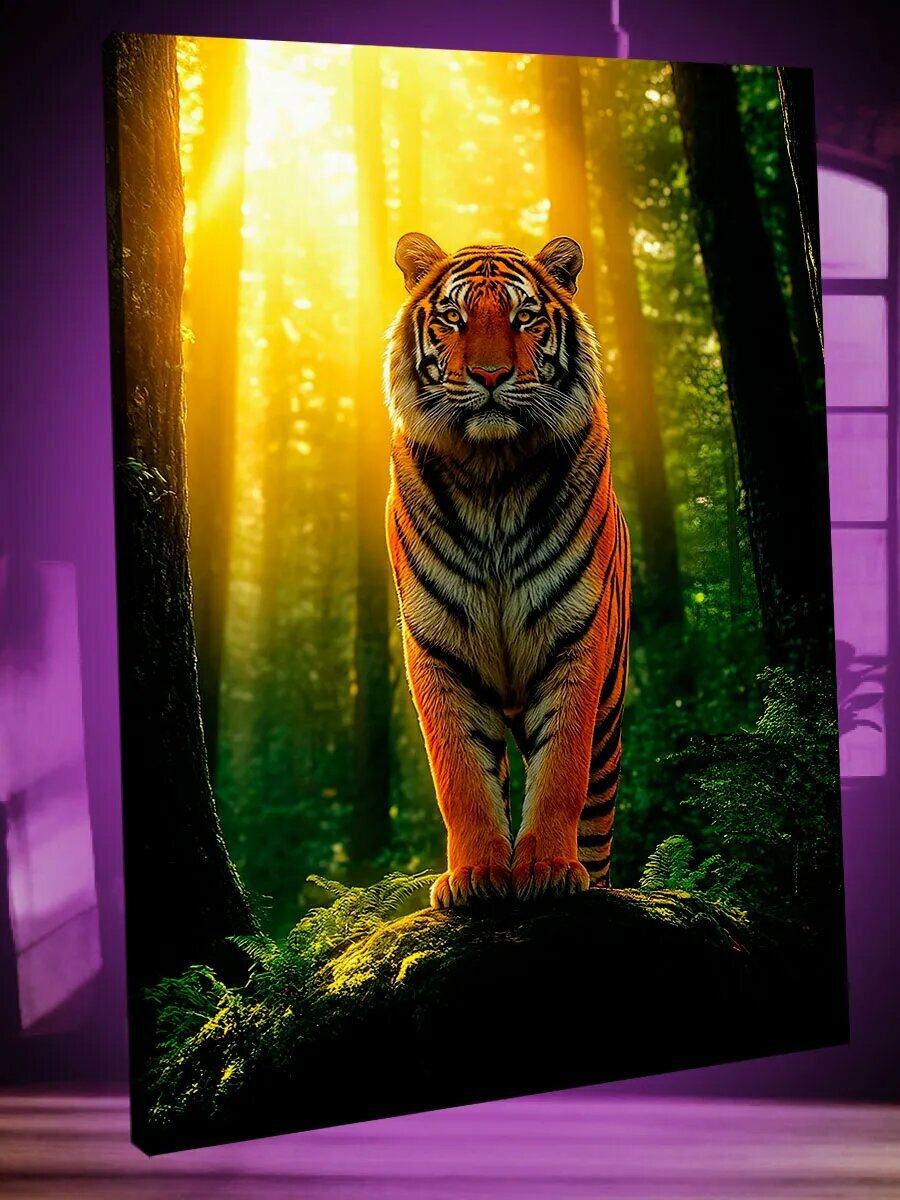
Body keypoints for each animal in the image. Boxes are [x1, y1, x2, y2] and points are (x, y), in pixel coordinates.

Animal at [385, 233, 631, 908]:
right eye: (453, 316)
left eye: (524, 317)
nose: (490, 376)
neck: (492, 472)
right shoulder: (439, 644)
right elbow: (460, 775)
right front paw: (475, 877)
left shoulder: (575, 634)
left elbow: (562, 768)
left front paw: (547, 870)